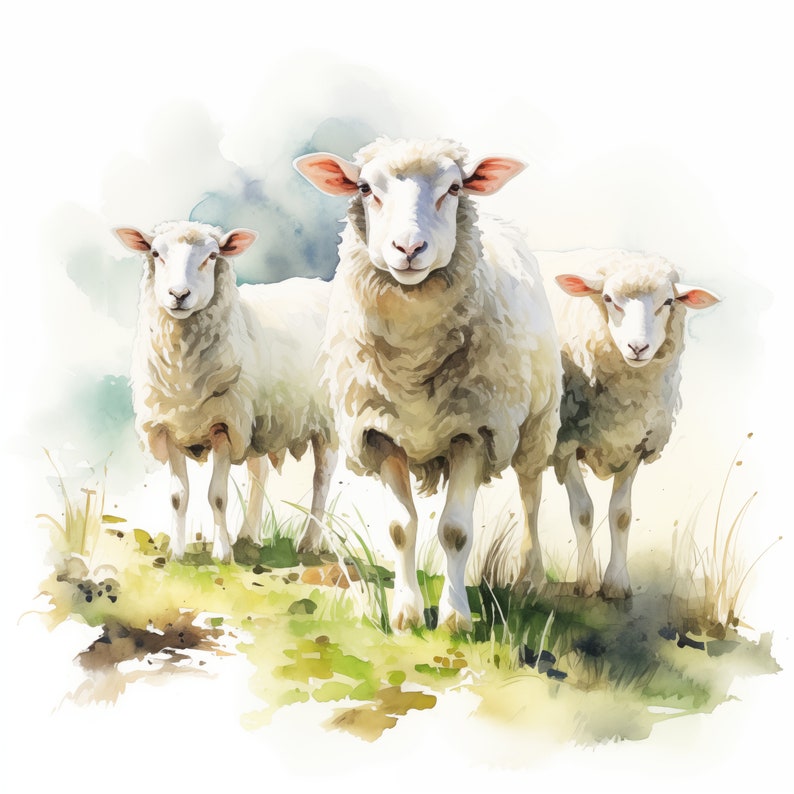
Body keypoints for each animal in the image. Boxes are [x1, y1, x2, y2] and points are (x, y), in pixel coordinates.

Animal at [114, 220, 337, 563]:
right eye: (155, 253)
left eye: (212, 255)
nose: (179, 294)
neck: (184, 381)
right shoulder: (171, 426)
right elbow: (178, 496)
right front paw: (177, 553)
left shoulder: (223, 424)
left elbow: (217, 496)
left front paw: (222, 553)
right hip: (259, 419)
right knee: (259, 472)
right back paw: (248, 537)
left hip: (327, 418)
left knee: (322, 476)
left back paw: (310, 541)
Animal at [294, 137, 561, 631]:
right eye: (364, 188)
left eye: (454, 187)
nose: (409, 247)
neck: (412, 360)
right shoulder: (377, 432)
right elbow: (400, 528)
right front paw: (406, 615)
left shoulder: (474, 430)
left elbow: (455, 531)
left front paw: (456, 619)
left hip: (536, 421)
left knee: (531, 493)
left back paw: (530, 578)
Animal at [549, 249, 720, 599]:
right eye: (608, 298)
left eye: (668, 301)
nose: (638, 347)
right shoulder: (565, 443)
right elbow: (583, 512)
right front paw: (587, 580)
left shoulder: (635, 445)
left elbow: (621, 515)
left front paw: (616, 583)